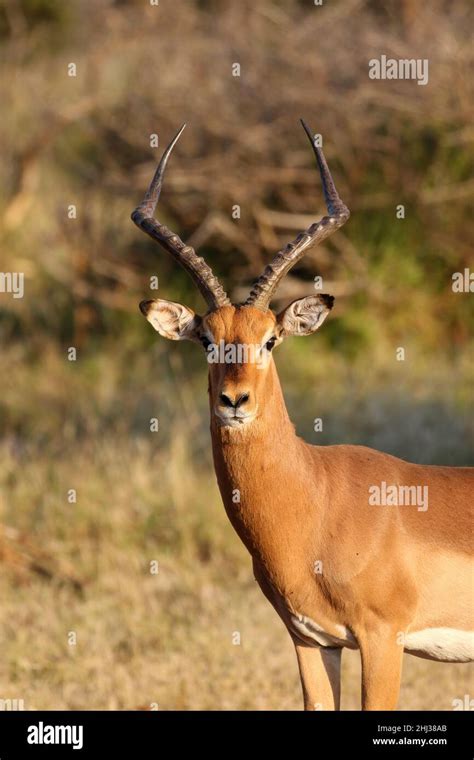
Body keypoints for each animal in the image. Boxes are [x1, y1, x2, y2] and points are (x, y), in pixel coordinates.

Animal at [132, 121, 474, 710]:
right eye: (207, 340)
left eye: (270, 339)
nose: (234, 401)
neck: (316, 496)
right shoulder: (311, 639)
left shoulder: (382, 638)